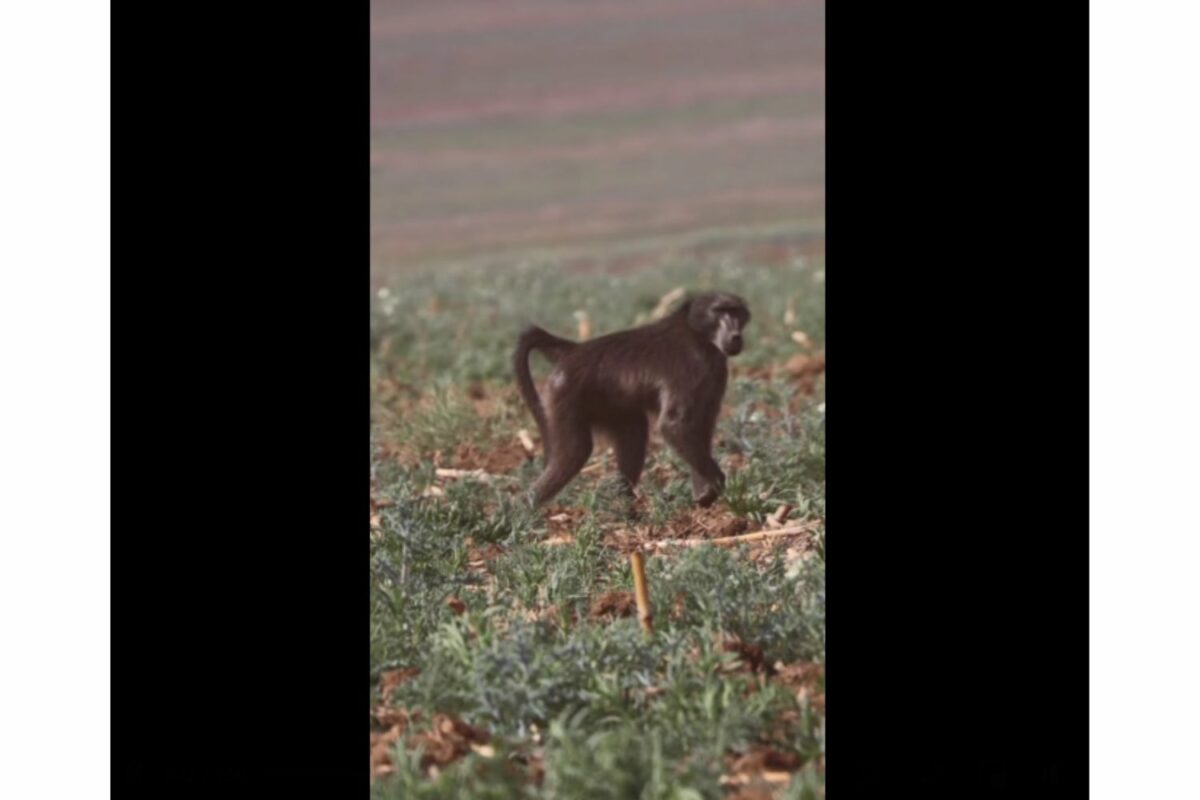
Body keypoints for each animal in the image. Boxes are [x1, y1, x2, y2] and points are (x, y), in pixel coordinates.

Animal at [513, 292, 751, 508]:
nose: (735, 336)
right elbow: (675, 425)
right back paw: (525, 512)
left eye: (736, 312)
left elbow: (701, 427)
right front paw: (716, 485)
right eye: (720, 311)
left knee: (634, 432)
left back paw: (625, 508)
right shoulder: (694, 364)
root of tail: (574, 350)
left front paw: (703, 497)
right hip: (564, 392)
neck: (697, 333)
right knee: (574, 453)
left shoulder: (714, 369)